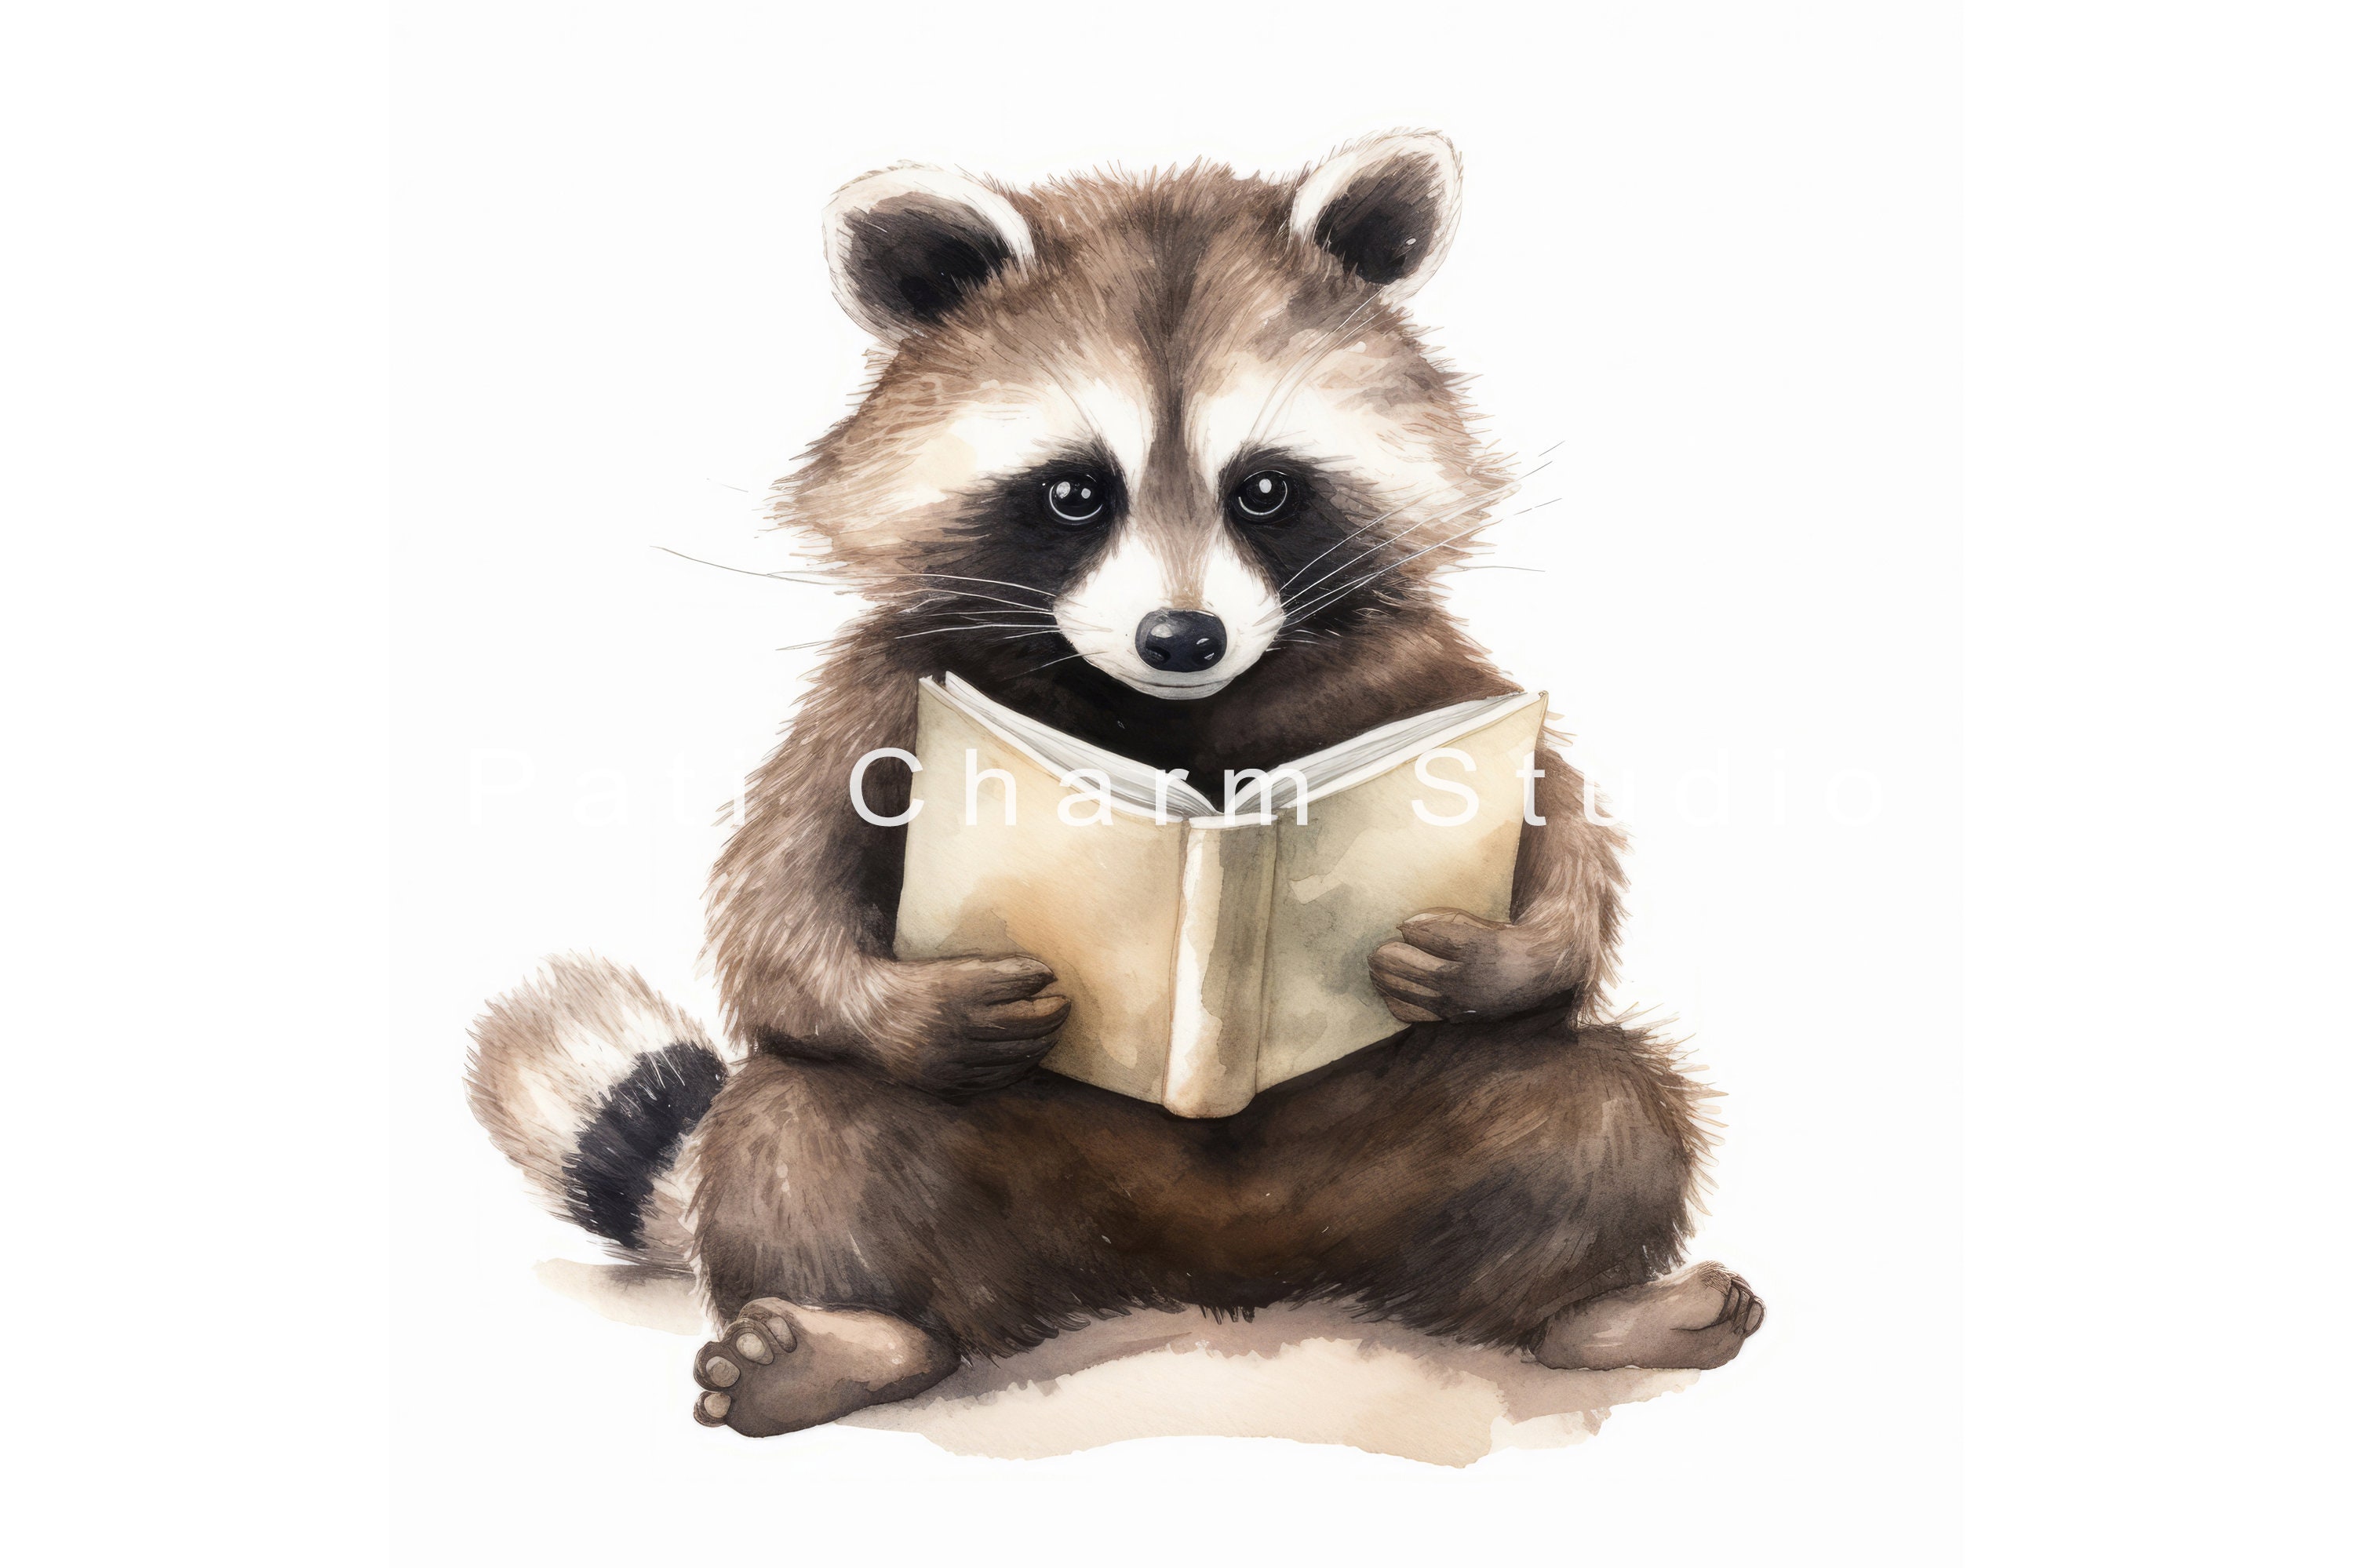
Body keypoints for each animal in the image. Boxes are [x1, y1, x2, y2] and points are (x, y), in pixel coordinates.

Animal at [470, 133, 1763, 1438]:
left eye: (1264, 489)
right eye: (1073, 492)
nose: (1181, 636)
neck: (1175, 709)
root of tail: (1205, 1267)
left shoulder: (1423, 669)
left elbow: (1564, 835)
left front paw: (1505, 949)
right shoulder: (882, 693)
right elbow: (776, 917)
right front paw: (913, 1006)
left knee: (1593, 1103)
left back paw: (1587, 1310)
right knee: (798, 1125)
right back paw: (853, 1335)